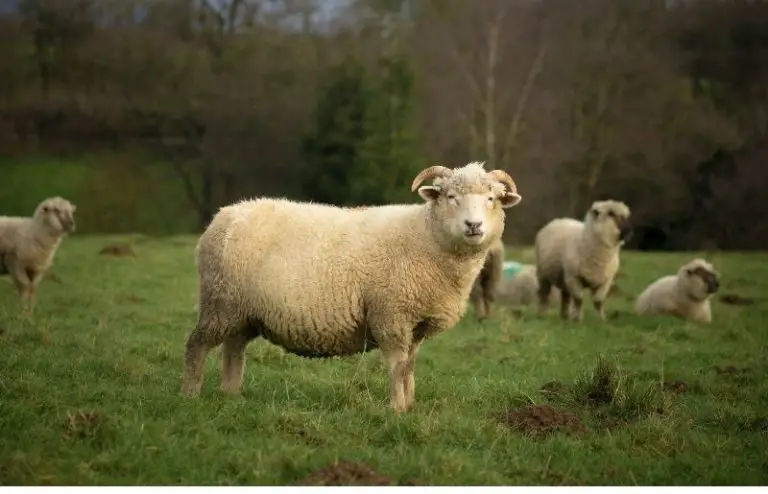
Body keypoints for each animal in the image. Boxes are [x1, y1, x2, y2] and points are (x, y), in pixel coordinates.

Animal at [180, 161, 522, 414]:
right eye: (450, 196)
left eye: (491, 198)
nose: (473, 226)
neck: (426, 238)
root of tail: (221, 218)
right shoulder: (390, 315)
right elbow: (397, 366)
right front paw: (397, 410)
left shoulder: (416, 323)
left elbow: (409, 366)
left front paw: (410, 405)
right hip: (221, 300)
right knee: (197, 344)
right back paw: (191, 394)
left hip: (243, 311)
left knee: (233, 349)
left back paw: (231, 394)